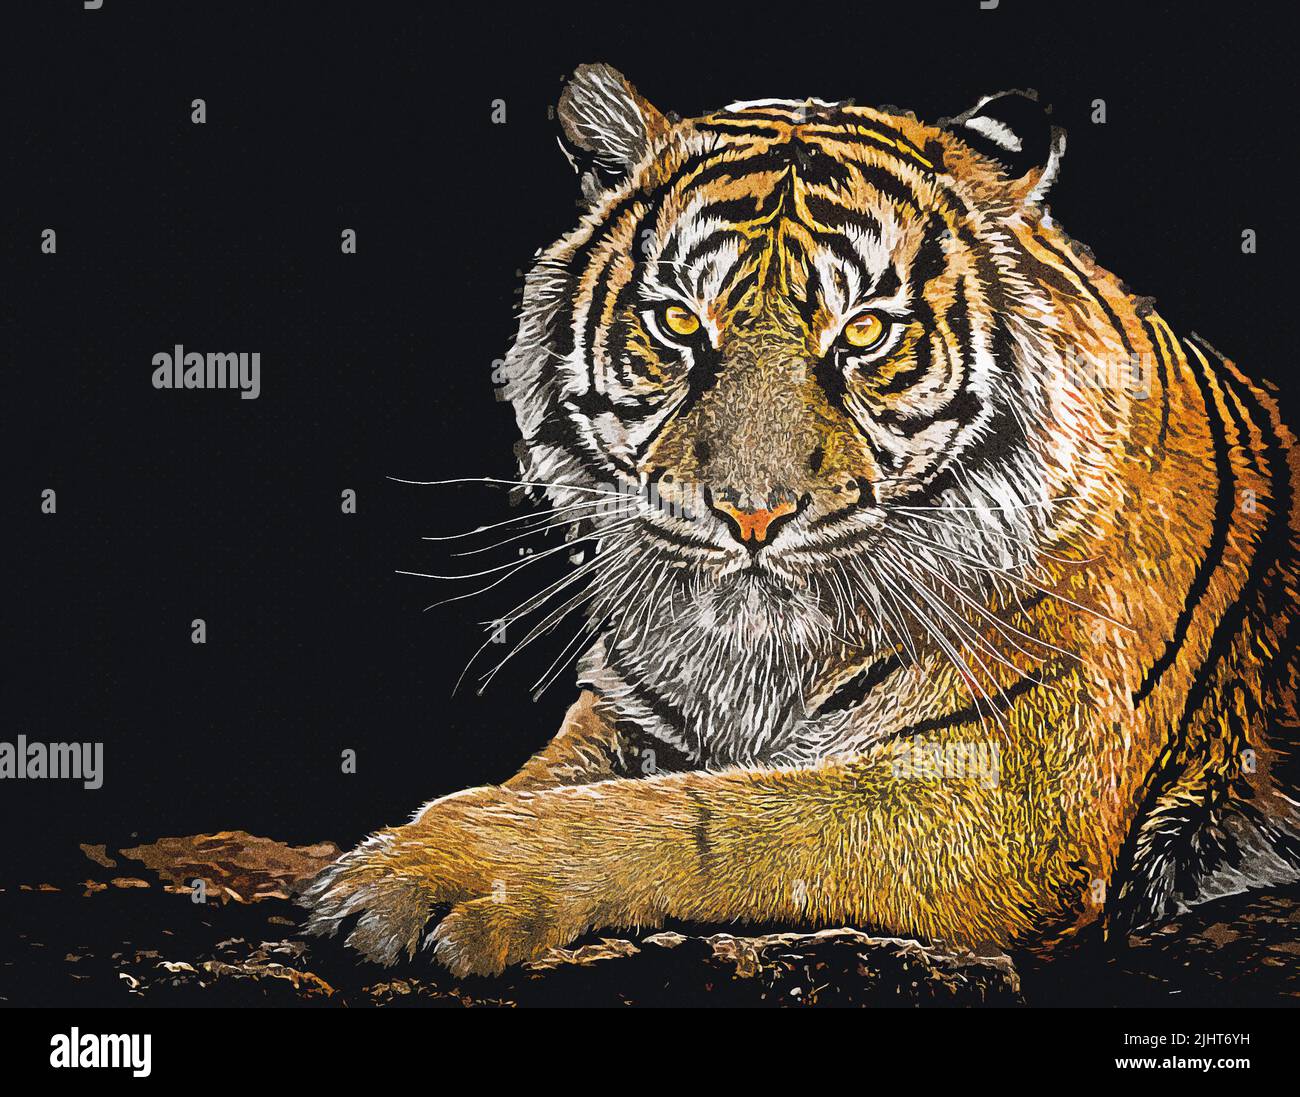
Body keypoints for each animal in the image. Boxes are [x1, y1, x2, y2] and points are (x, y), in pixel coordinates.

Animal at [302, 63, 1300, 978]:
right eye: (678, 325)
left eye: (863, 333)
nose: (753, 515)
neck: (757, 659)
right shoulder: (625, 716)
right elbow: (544, 782)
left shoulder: (1004, 800)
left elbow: (705, 817)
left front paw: (429, 872)